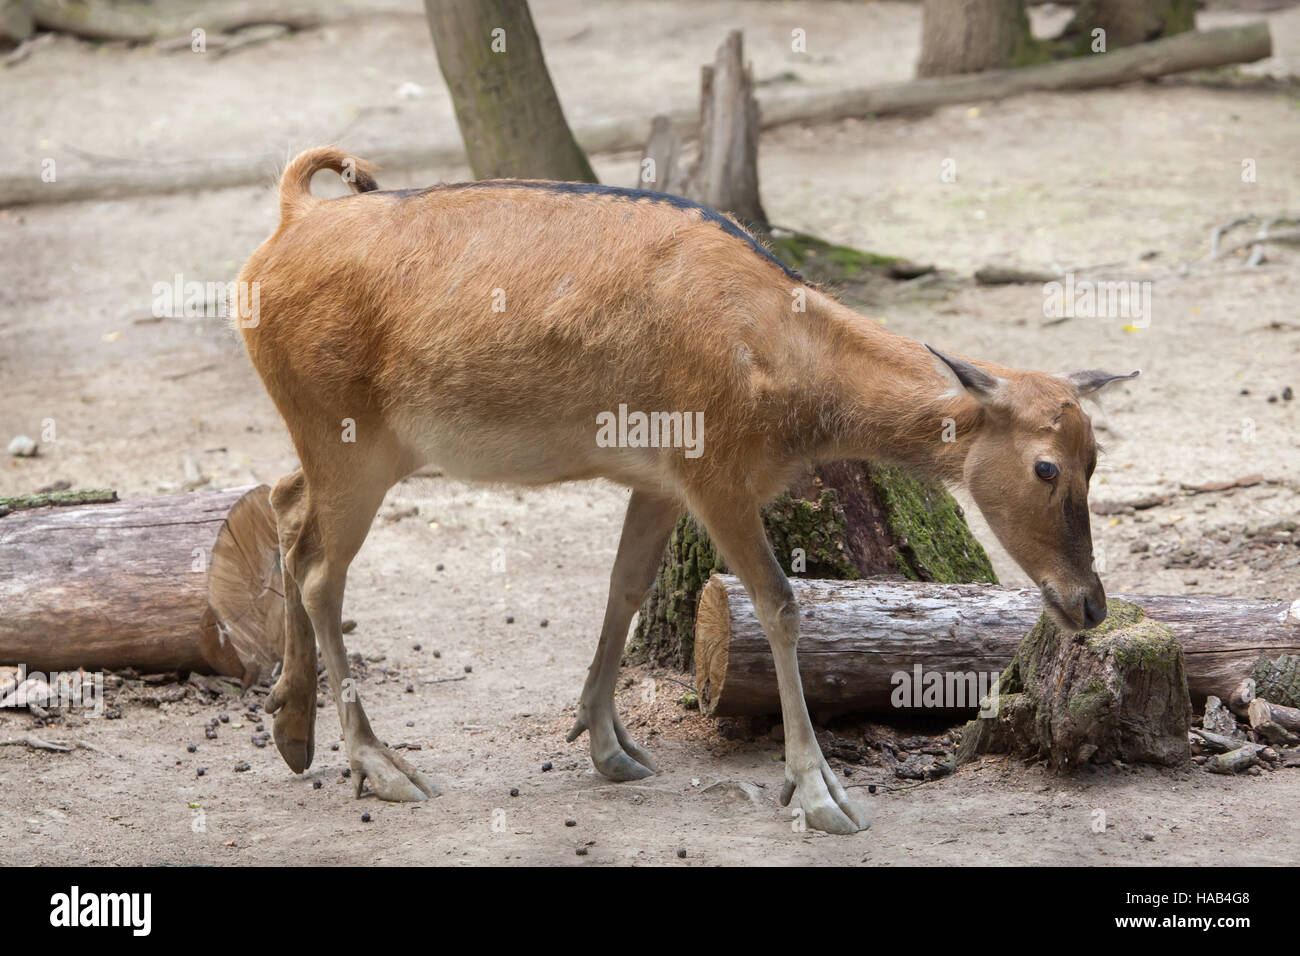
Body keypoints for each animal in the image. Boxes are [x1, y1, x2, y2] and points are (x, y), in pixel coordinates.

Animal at [234, 146, 1138, 835]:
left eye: (1098, 457)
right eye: (1047, 467)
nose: (1089, 603)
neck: (788, 382)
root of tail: (284, 223)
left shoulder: (659, 477)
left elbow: (625, 586)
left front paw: (610, 745)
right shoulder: (715, 470)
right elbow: (777, 602)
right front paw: (819, 795)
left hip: (350, 448)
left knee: (283, 502)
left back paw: (292, 729)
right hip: (349, 437)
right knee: (321, 571)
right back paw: (378, 764)